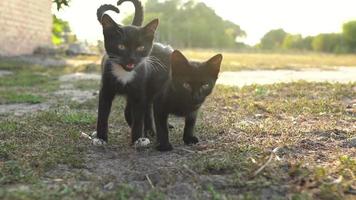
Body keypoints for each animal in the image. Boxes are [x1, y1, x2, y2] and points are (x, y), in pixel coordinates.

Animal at [96, 4, 160, 144]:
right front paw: (101, 138)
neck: (124, 73)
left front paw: (137, 139)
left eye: (141, 48)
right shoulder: (105, 90)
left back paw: (149, 132)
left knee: (145, 110)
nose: (131, 59)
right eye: (121, 46)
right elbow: (102, 115)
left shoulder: (139, 92)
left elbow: (139, 117)